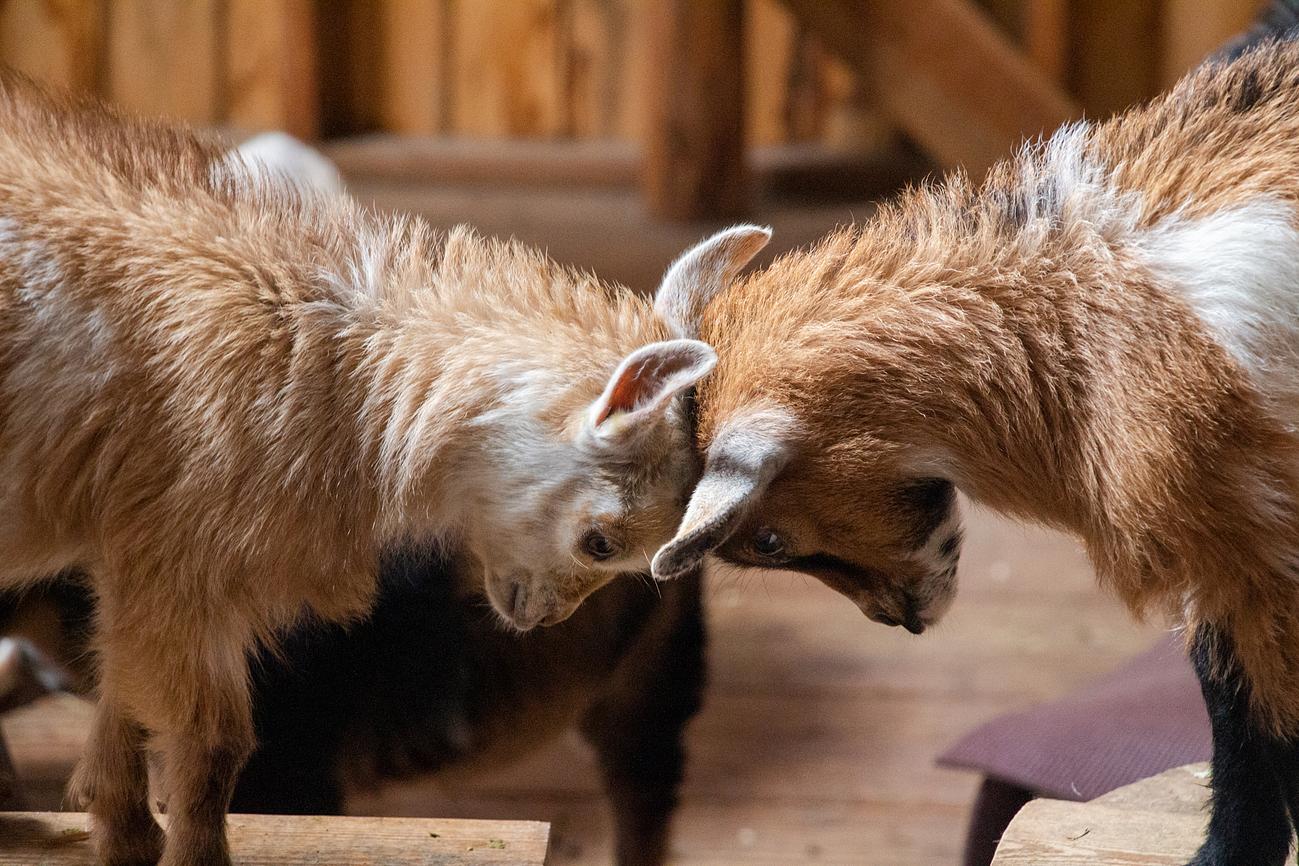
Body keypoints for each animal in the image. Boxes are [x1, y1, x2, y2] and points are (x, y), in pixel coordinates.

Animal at [0, 74, 757, 866]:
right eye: (601, 542)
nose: (543, 616)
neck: (319, 355)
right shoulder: (184, 548)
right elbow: (211, 743)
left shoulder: (142, 548)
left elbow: (125, 691)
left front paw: (124, 831)